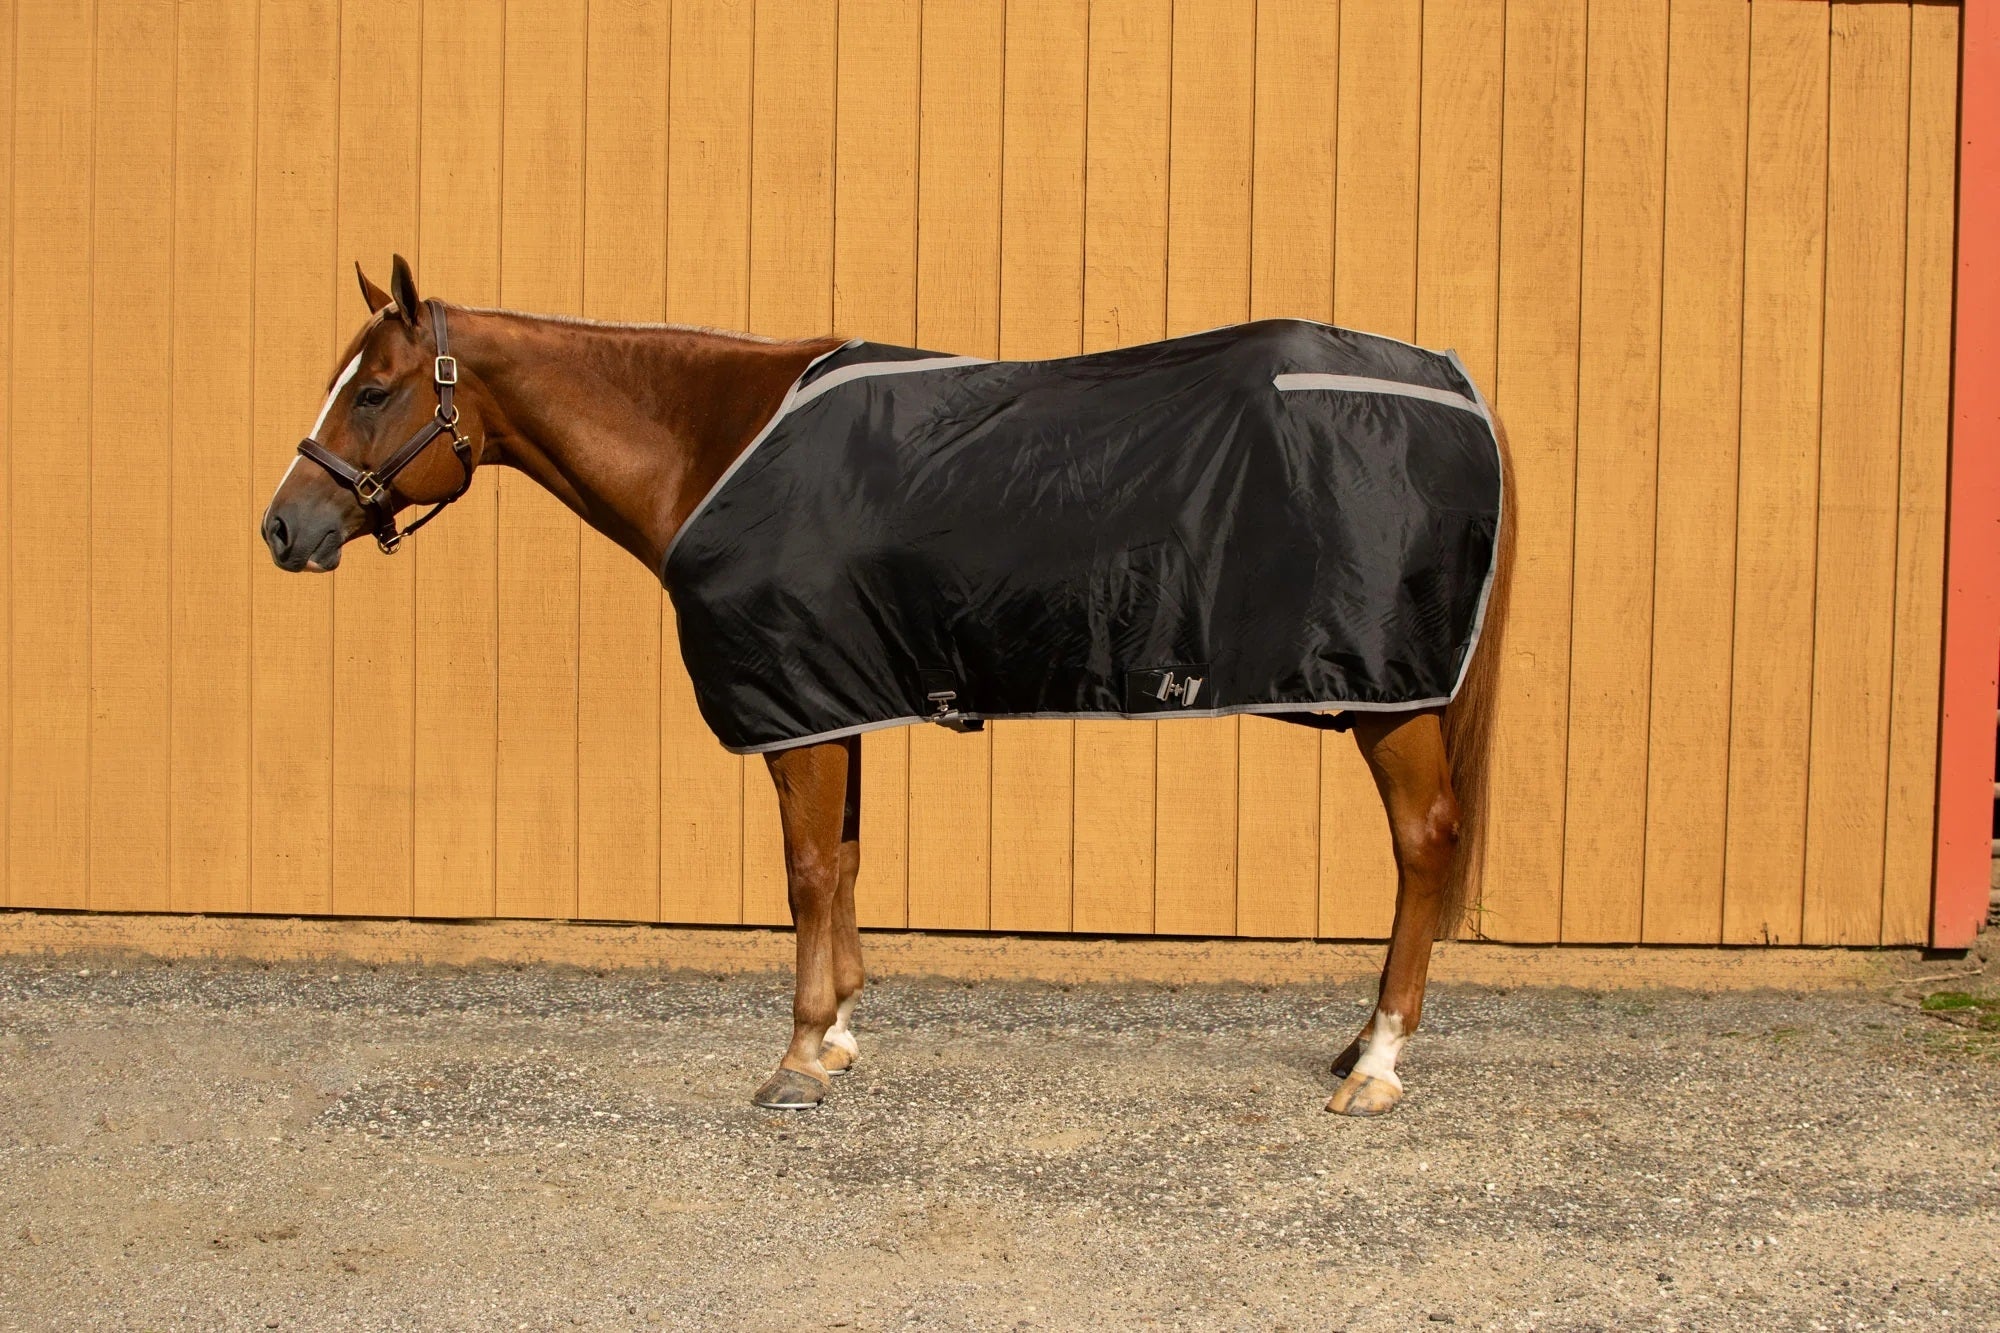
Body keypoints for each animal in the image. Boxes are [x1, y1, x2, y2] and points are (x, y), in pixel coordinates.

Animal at [262, 255, 1516, 1117]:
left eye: (373, 390)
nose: (282, 528)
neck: (715, 443)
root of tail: (1457, 388)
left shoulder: (794, 708)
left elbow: (806, 873)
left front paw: (797, 1056)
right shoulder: (835, 692)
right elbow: (847, 862)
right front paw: (842, 1036)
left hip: (1392, 701)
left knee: (1422, 843)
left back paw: (1378, 1063)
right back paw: (1357, 1045)